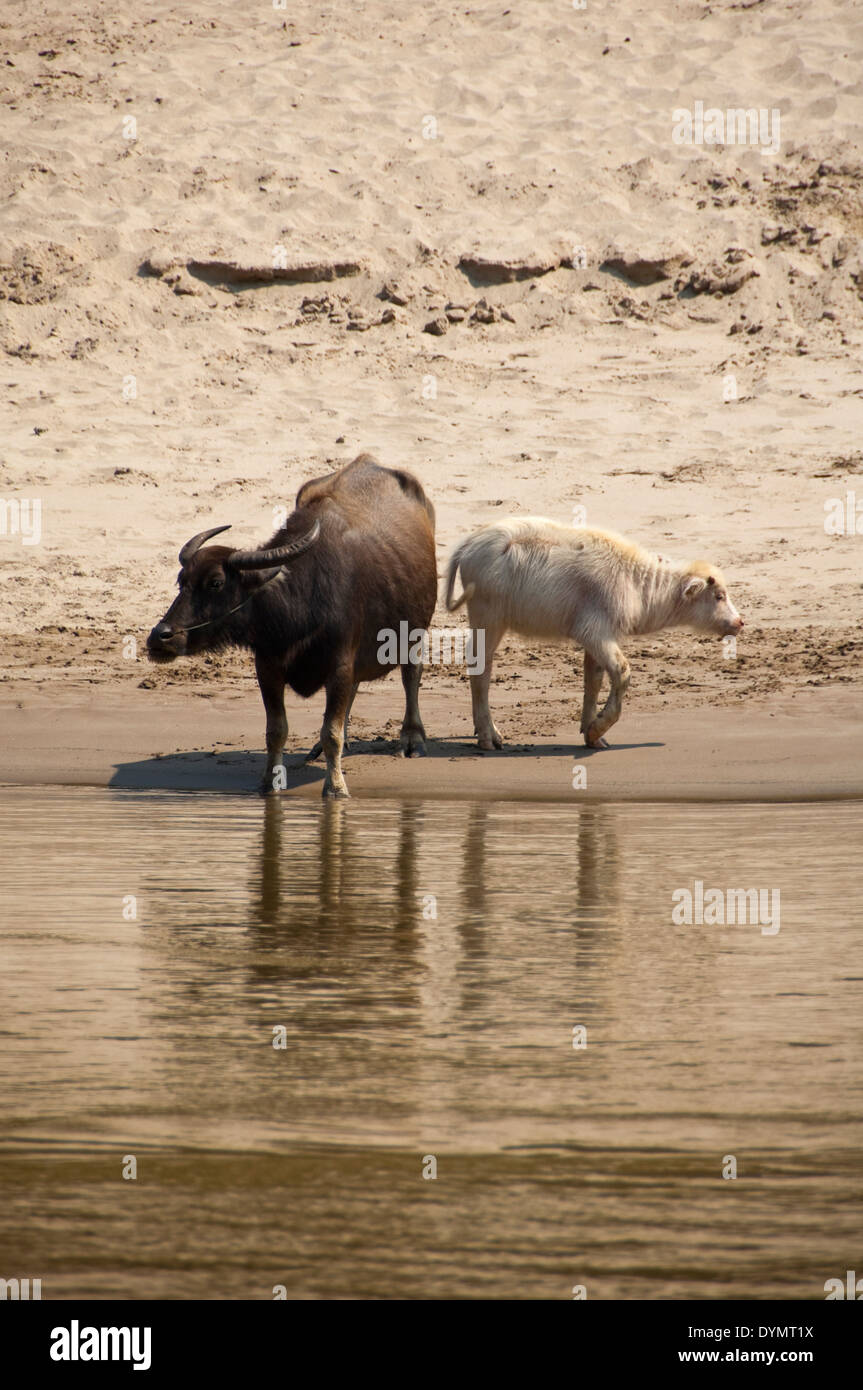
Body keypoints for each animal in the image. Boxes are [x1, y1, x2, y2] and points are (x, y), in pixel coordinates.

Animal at [147, 453, 437, 797]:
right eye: (182, 581)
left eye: (216, 582)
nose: (160, 637)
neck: (298, 610)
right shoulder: (268, 667)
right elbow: (277, 730)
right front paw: (269, 782)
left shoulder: (340, 666)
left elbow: (331, 732)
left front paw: (336, 787)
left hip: (415, 632)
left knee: (411, 675)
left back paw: (412, 738)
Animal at [445, 517, 743, 750]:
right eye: (719, 596)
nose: (740, 622)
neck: (636, 585)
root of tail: (468, 545)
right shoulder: (594, 631)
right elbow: (622, 672)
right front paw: (598, 727)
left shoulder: (599, 637)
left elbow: (593, 681)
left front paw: (592, 735)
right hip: (488, 614)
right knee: (480, 667)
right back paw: (489, 737)